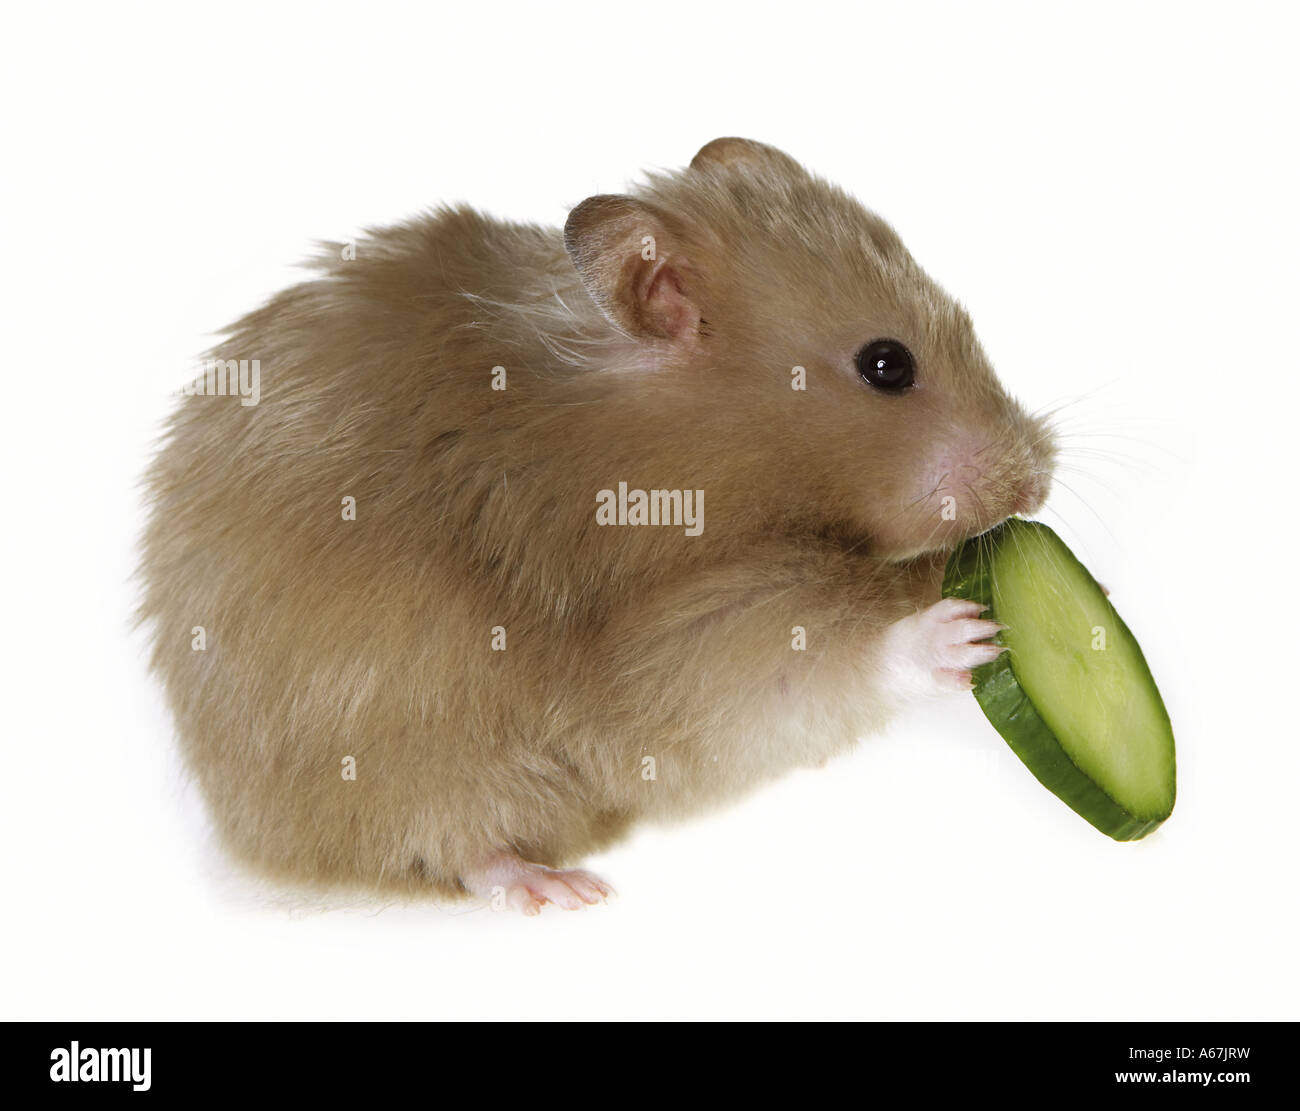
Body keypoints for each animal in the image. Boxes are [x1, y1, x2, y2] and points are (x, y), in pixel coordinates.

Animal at [140, 138, 1056, 913]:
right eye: (886, 364)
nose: (1036, 482)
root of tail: (252, 830)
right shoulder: (657, 646)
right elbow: (804, 662)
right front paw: (963, 629)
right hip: (406, 740)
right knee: (452, 841)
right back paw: (559, 889)